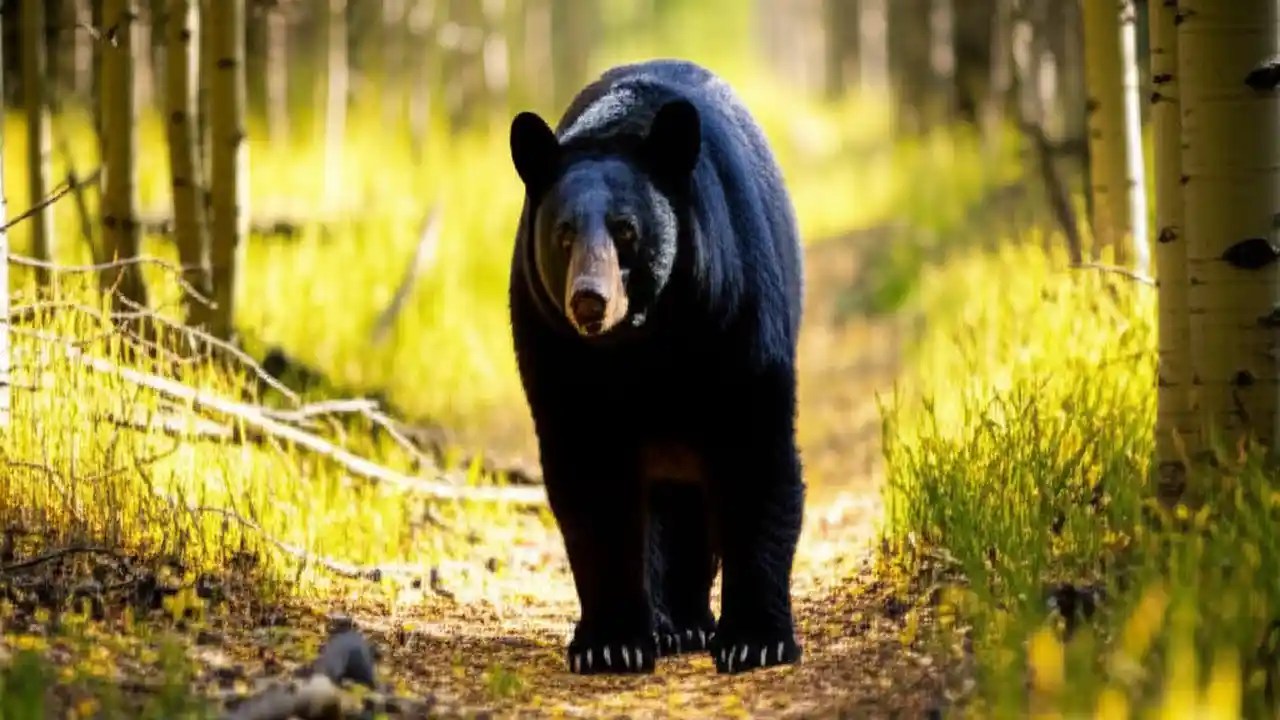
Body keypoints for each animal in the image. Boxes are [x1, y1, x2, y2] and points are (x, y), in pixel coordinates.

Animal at [506, 58, 805, 675]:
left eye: (625, 229)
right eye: (563, 233)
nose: (589, 300)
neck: (642, 343)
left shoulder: (734, 311)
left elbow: (755, 454)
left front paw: (756, 639)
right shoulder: (555, 349)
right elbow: (591, 478)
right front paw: (610, 643)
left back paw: (688, 621)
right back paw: (672, 623)